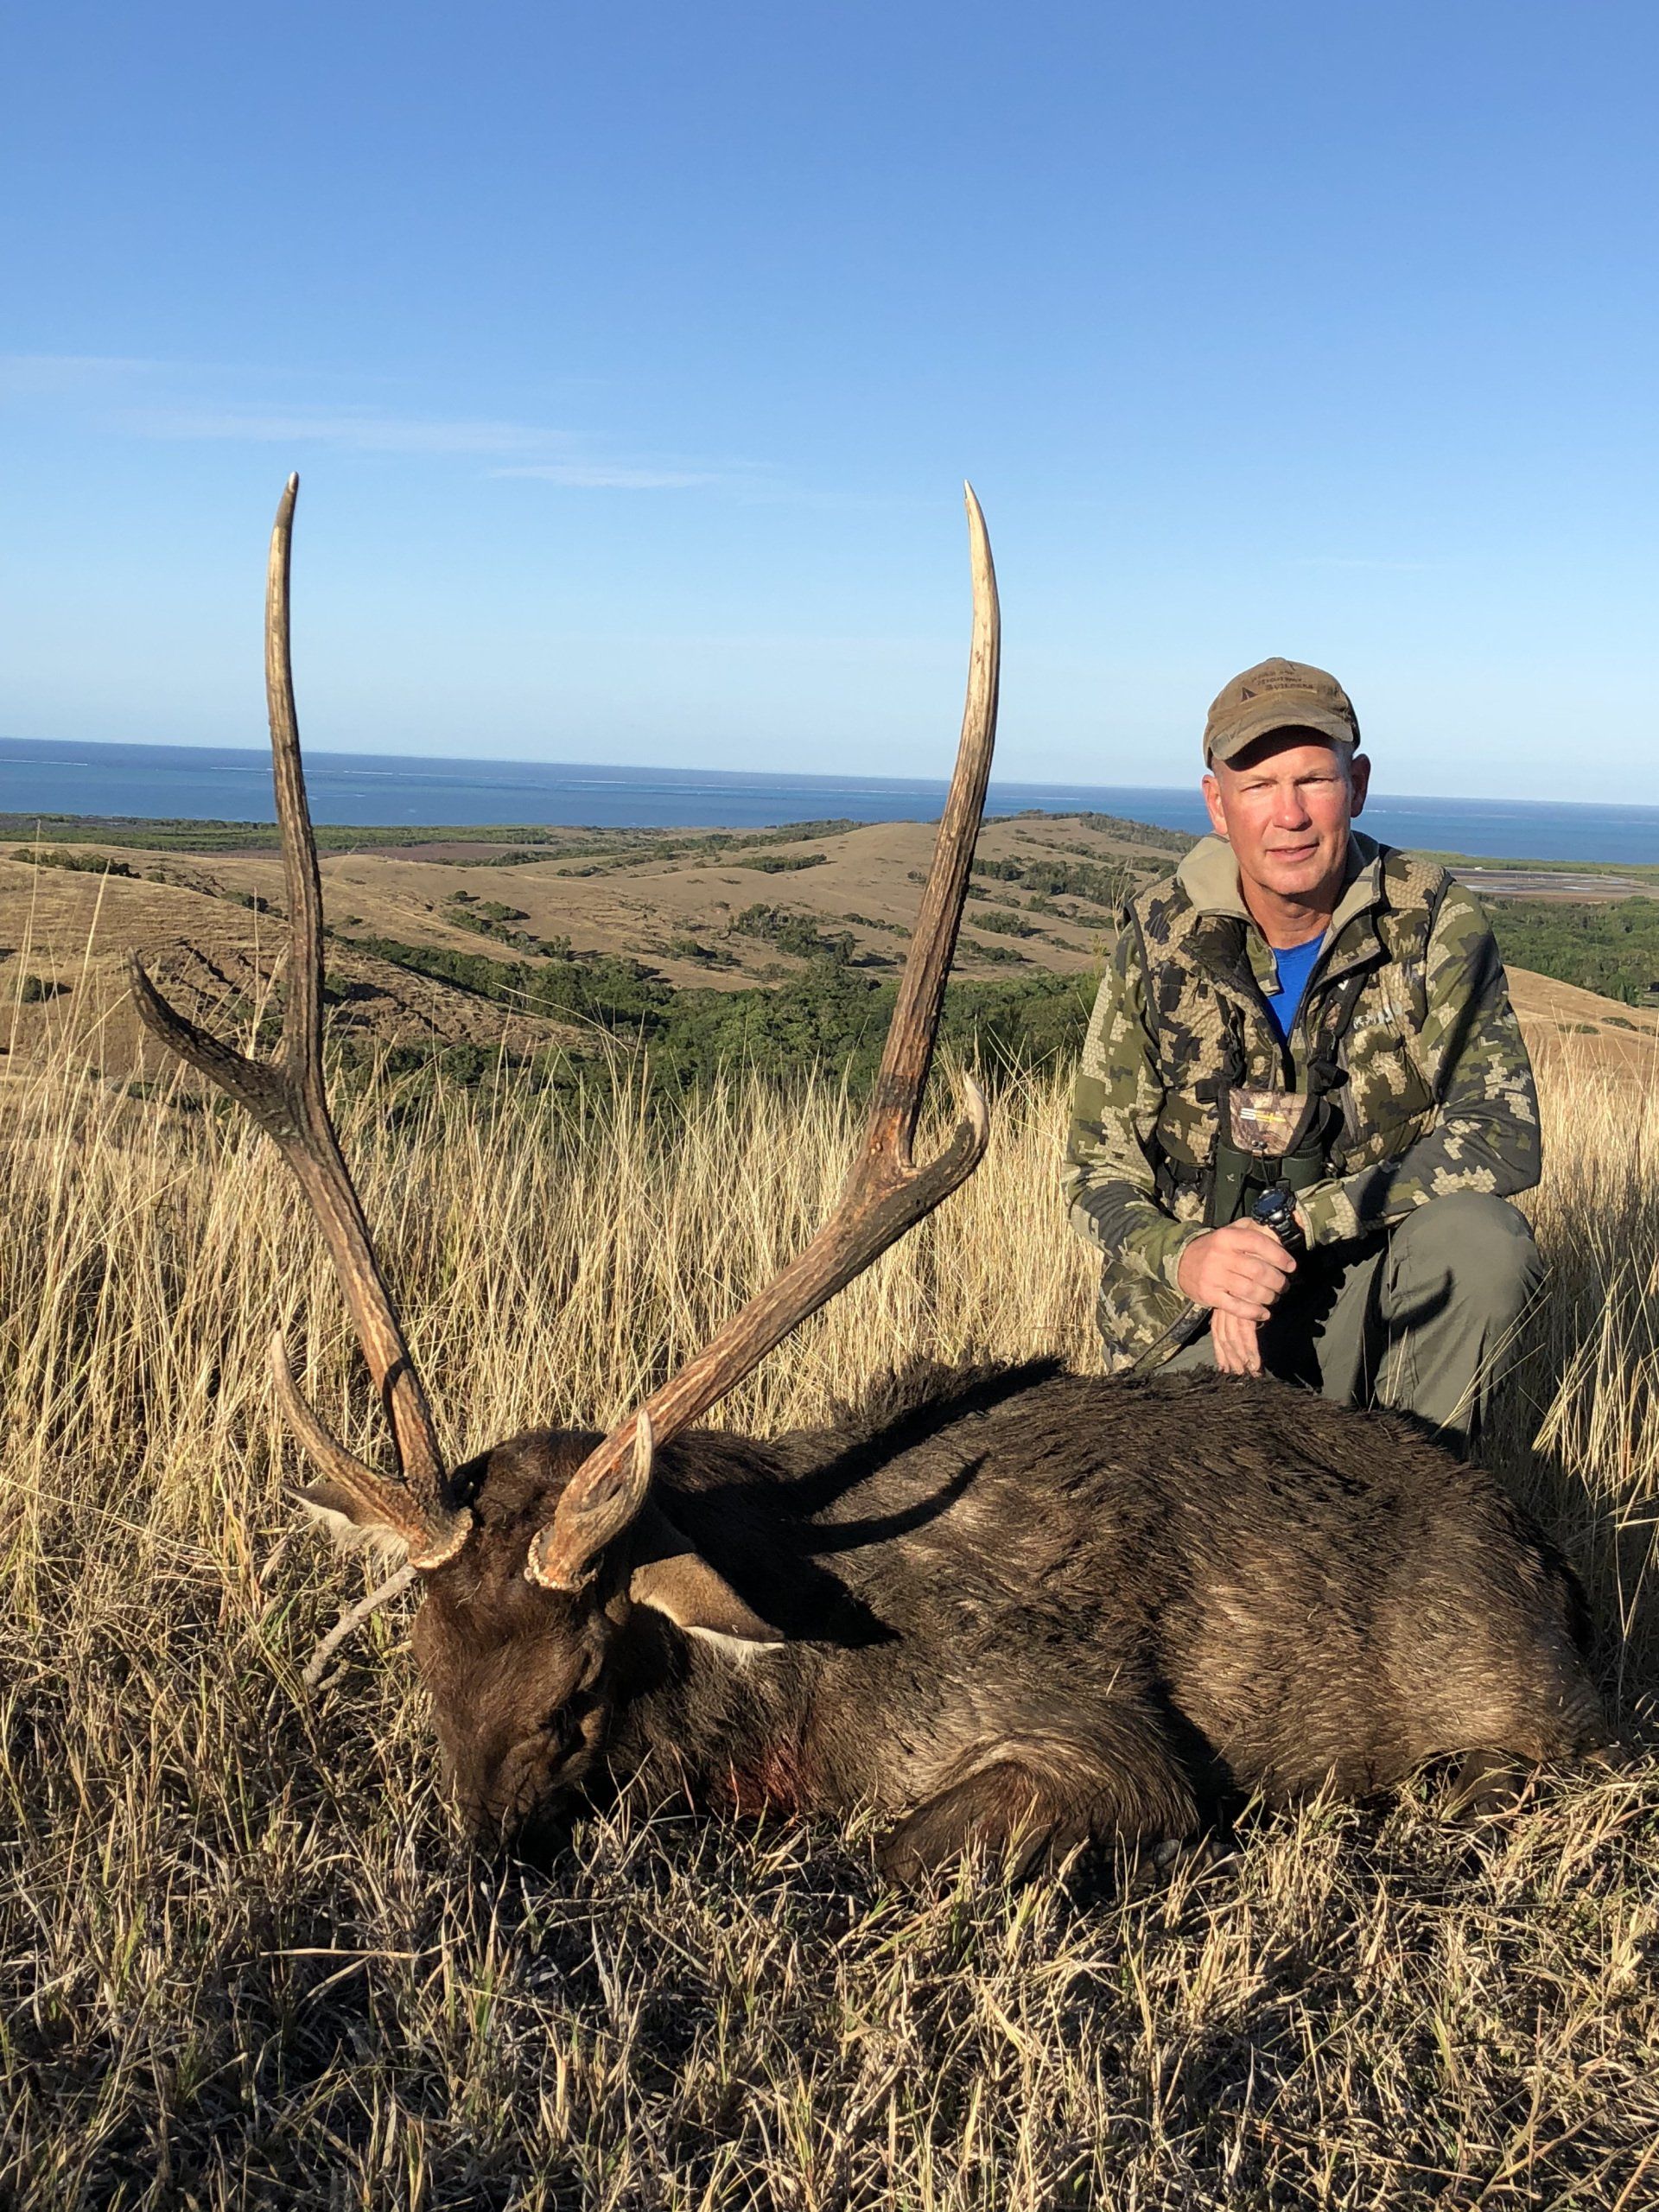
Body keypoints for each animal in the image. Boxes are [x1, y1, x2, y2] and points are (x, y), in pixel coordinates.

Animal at [131, 479, 1607, 1880]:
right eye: (428, 1666)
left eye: (585, 1679)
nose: (481, 1861)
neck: (788, 1700)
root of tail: (1557, 1566)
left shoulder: (1097, 1734)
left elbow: (907, 1850)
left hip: (1535, 1731)